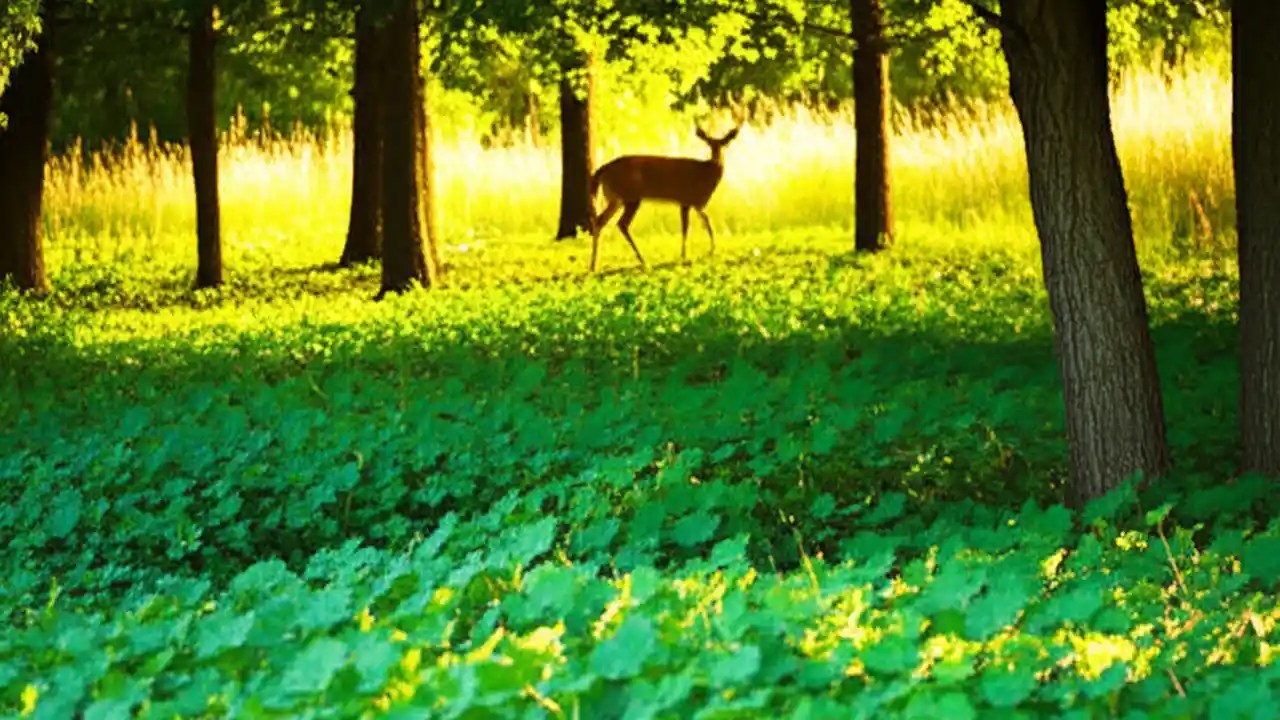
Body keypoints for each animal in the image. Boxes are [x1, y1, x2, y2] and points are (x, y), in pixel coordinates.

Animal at [588, 124, 741, 272]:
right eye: (709, 144)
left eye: (725, 143)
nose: (717, 158)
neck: (706, 174)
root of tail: (602, 169)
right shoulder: (687, 199)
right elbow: (688, 228)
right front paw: (686, 256)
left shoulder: (694, 202)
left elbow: (706, 221)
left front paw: (710, 250)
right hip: (631, 196)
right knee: (622, 223)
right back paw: (643, 261)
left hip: (616, 198)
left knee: (600, 220)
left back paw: (594, 265)